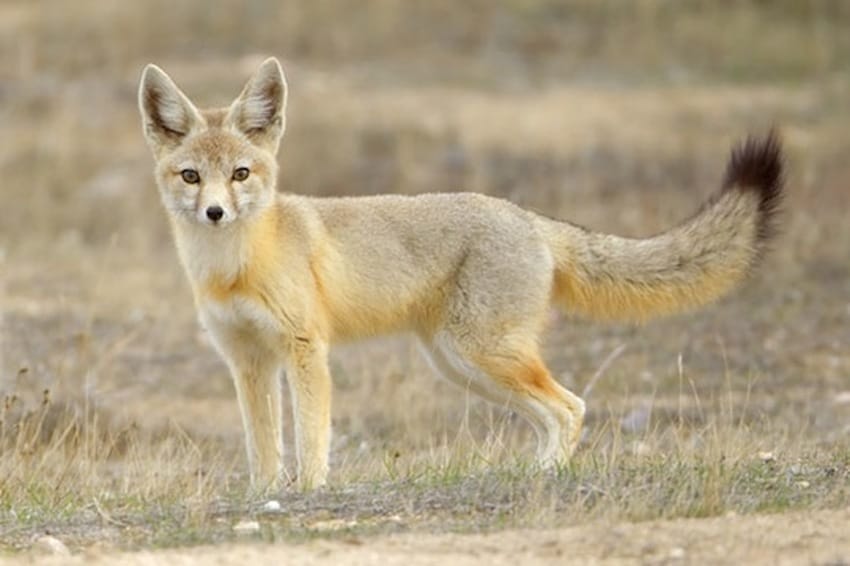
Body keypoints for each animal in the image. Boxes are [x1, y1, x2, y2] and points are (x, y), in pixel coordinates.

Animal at [138, 57, 783, 491]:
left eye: (241, 174)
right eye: (192, 177)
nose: (216, 212)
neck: (235, 266)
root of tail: (530, 218)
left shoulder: (305, 349)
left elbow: (311, 438)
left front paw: (310, 492)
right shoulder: (247, 361)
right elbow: (263, 447)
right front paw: (266, 494)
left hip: (480, 354)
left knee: (570, 407)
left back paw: (543, 475)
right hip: (463, 365)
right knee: (559, 411)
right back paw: (535, 471)